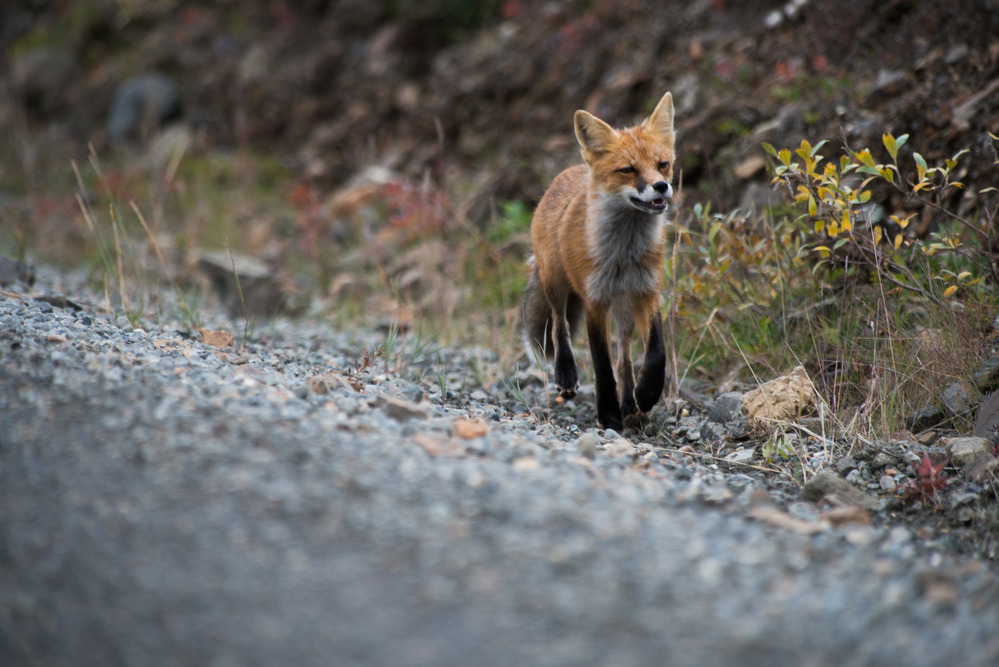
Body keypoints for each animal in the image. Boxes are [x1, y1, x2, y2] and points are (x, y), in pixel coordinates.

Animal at [524, 91, 675, 432]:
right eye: (628, 170)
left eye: (663, 165)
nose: (661, 186)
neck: (624, 254)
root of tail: (568, 171)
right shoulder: (596, 300)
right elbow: (601, 364)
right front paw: (607, 414)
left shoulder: (647, 292)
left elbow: (655, 352)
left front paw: (646, 394)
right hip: (555, 281)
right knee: (560, 325)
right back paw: (566, 374)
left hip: (625, 309)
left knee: (625, 358)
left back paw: (630, 404)